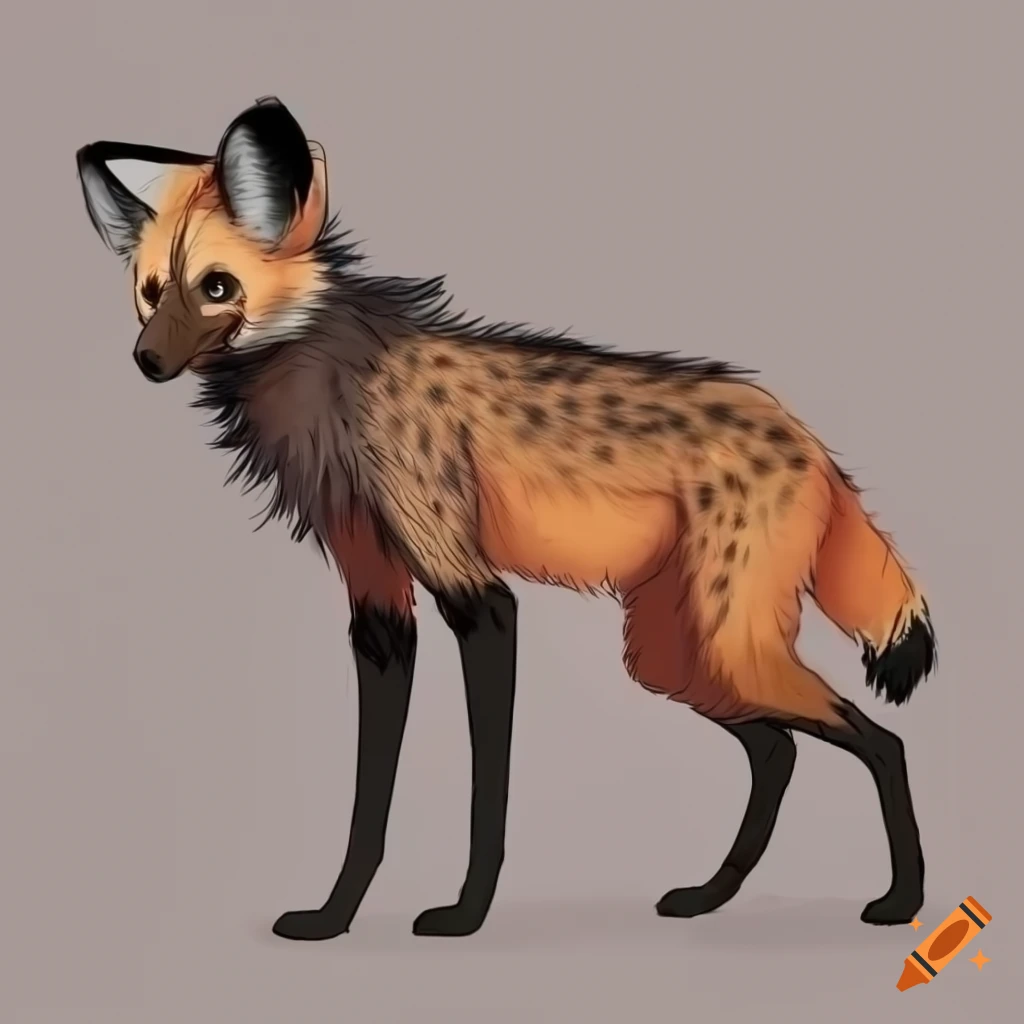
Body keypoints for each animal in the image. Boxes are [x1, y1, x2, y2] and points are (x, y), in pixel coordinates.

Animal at [77, 96, 936, 941]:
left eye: (217, 287)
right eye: (153, 290)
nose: (146, 361)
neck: (335, 389)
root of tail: (804, 433)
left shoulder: (478, 598)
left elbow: (486, 791)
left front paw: (465, 914)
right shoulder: (379, 609)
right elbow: (368, 804)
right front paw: (334, 916)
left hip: (727, 650)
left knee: (881, 741)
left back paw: (901, 901)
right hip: (676, 655)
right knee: (776, 750)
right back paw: (708, 897)